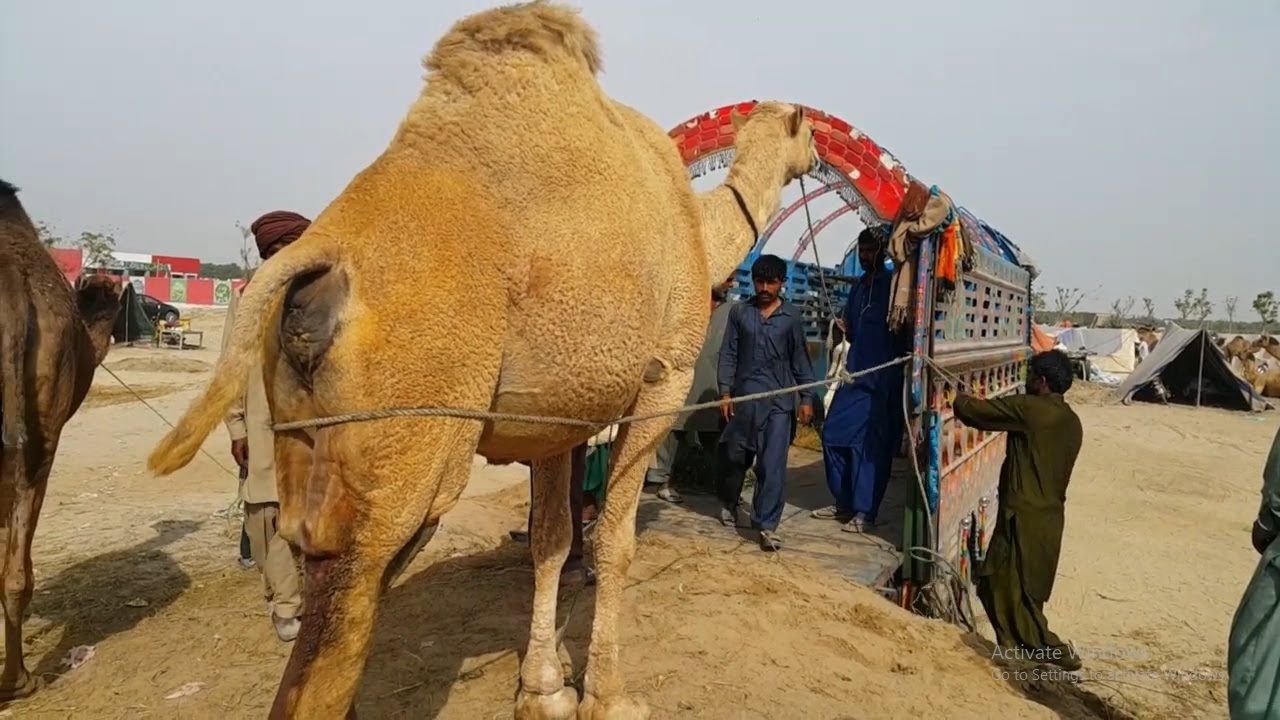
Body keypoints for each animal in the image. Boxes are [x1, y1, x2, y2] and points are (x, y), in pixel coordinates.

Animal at [146, 4, 817, 719]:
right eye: (805, 127)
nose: (816, 152)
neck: (697, 231)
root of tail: (315, 259)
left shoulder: (558, 412)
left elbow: (551, 539)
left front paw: (542, 689)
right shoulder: (664, 382)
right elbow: (614, 542)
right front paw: (607, 697)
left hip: (306, 424)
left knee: (314, 560)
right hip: (414, 435)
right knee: (349, 596)